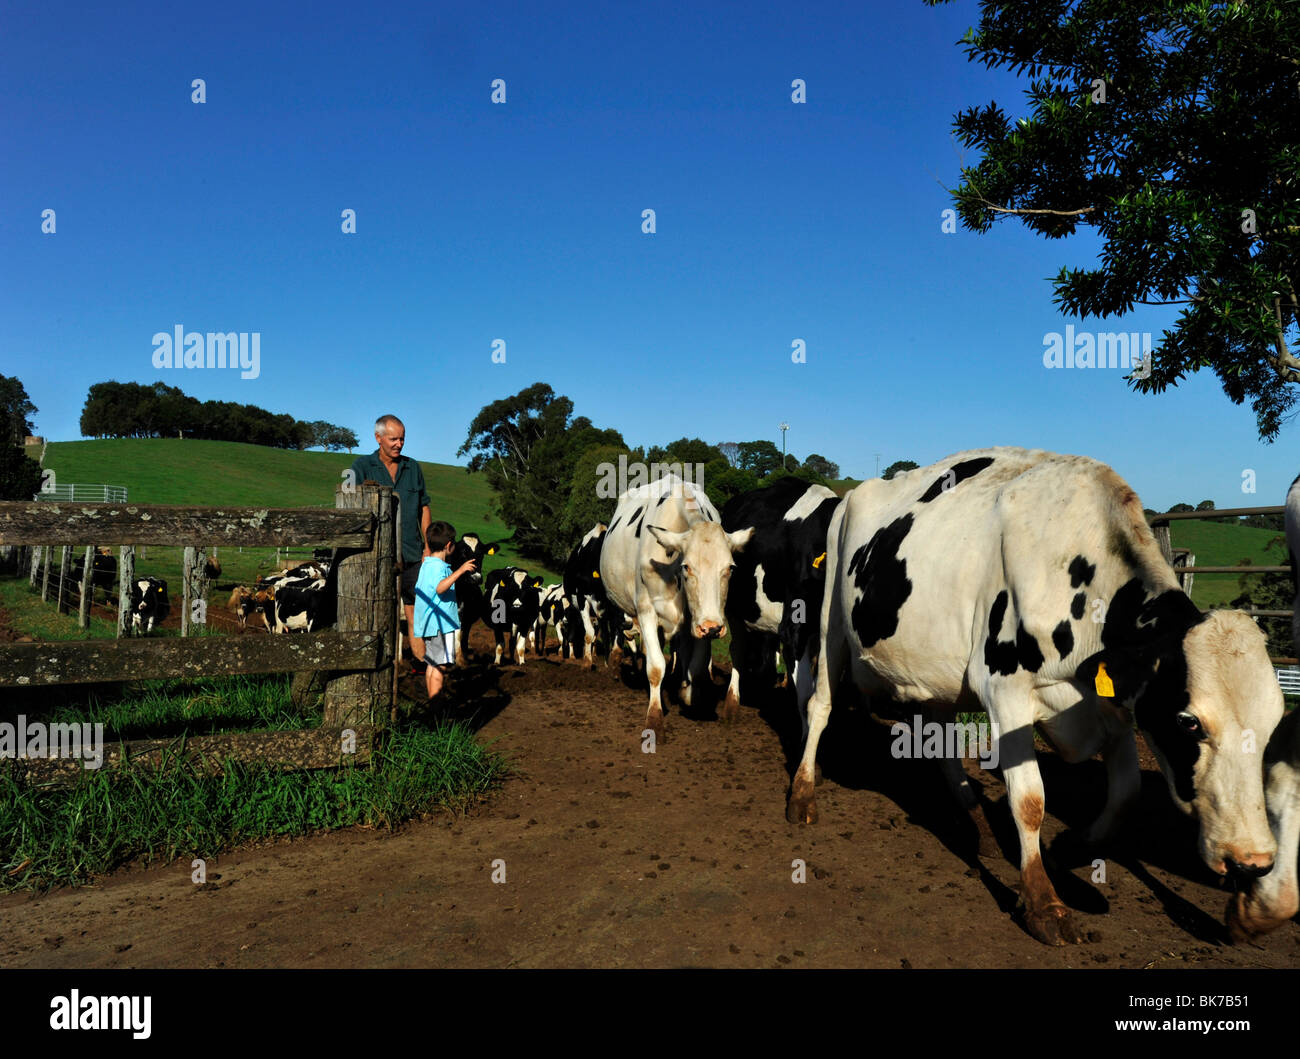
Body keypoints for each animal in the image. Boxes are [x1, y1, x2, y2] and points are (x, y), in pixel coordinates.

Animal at [598, 475, 754, 743]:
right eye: (687, 567)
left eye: (731, 568)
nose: (714, 627)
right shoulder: (647, 610)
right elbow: (655, 667)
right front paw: (654, 721)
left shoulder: (698, 619)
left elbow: (697, 666)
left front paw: (686, 693)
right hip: (619, 601)